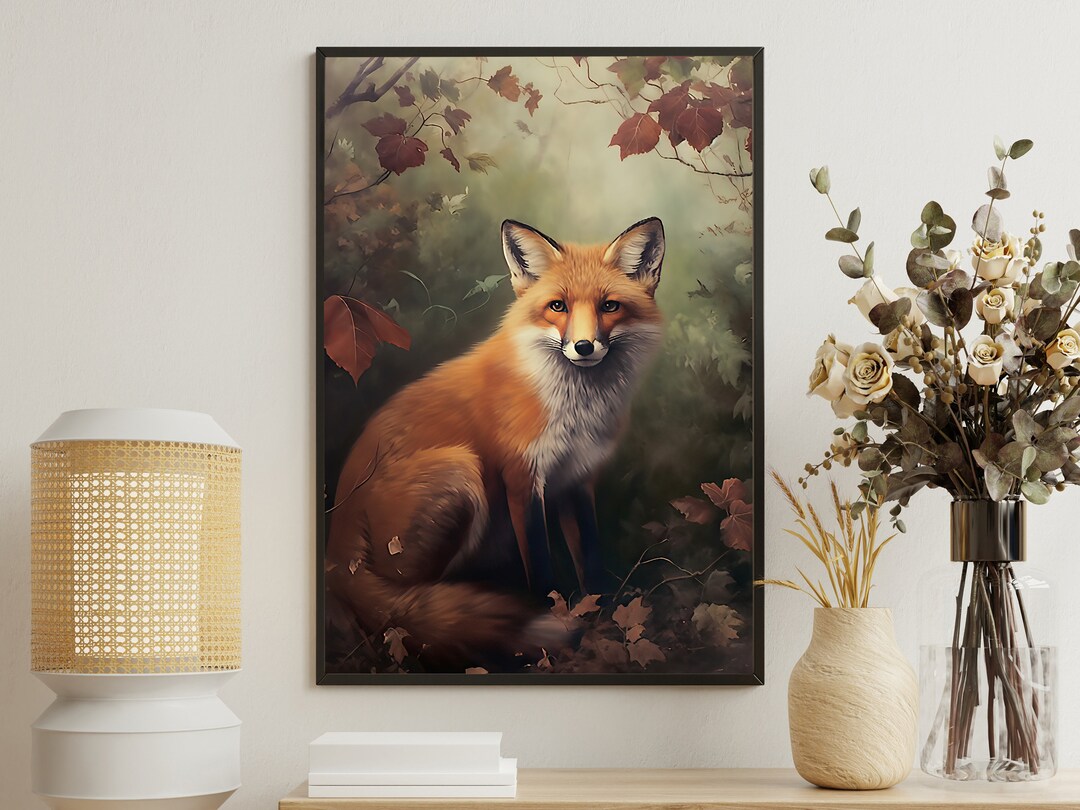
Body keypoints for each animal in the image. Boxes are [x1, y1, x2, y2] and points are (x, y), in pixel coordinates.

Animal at [325, 216, 665, 669]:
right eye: (558, 306)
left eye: (609, 306)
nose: (583, 346)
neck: (576, 411)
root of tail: (336, 549)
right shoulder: (522, 479)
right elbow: (540, 567)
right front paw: (551, 628)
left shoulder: (578, 478)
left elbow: (590, 557)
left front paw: (603, 615)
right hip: (460, 472)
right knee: (407, 607)